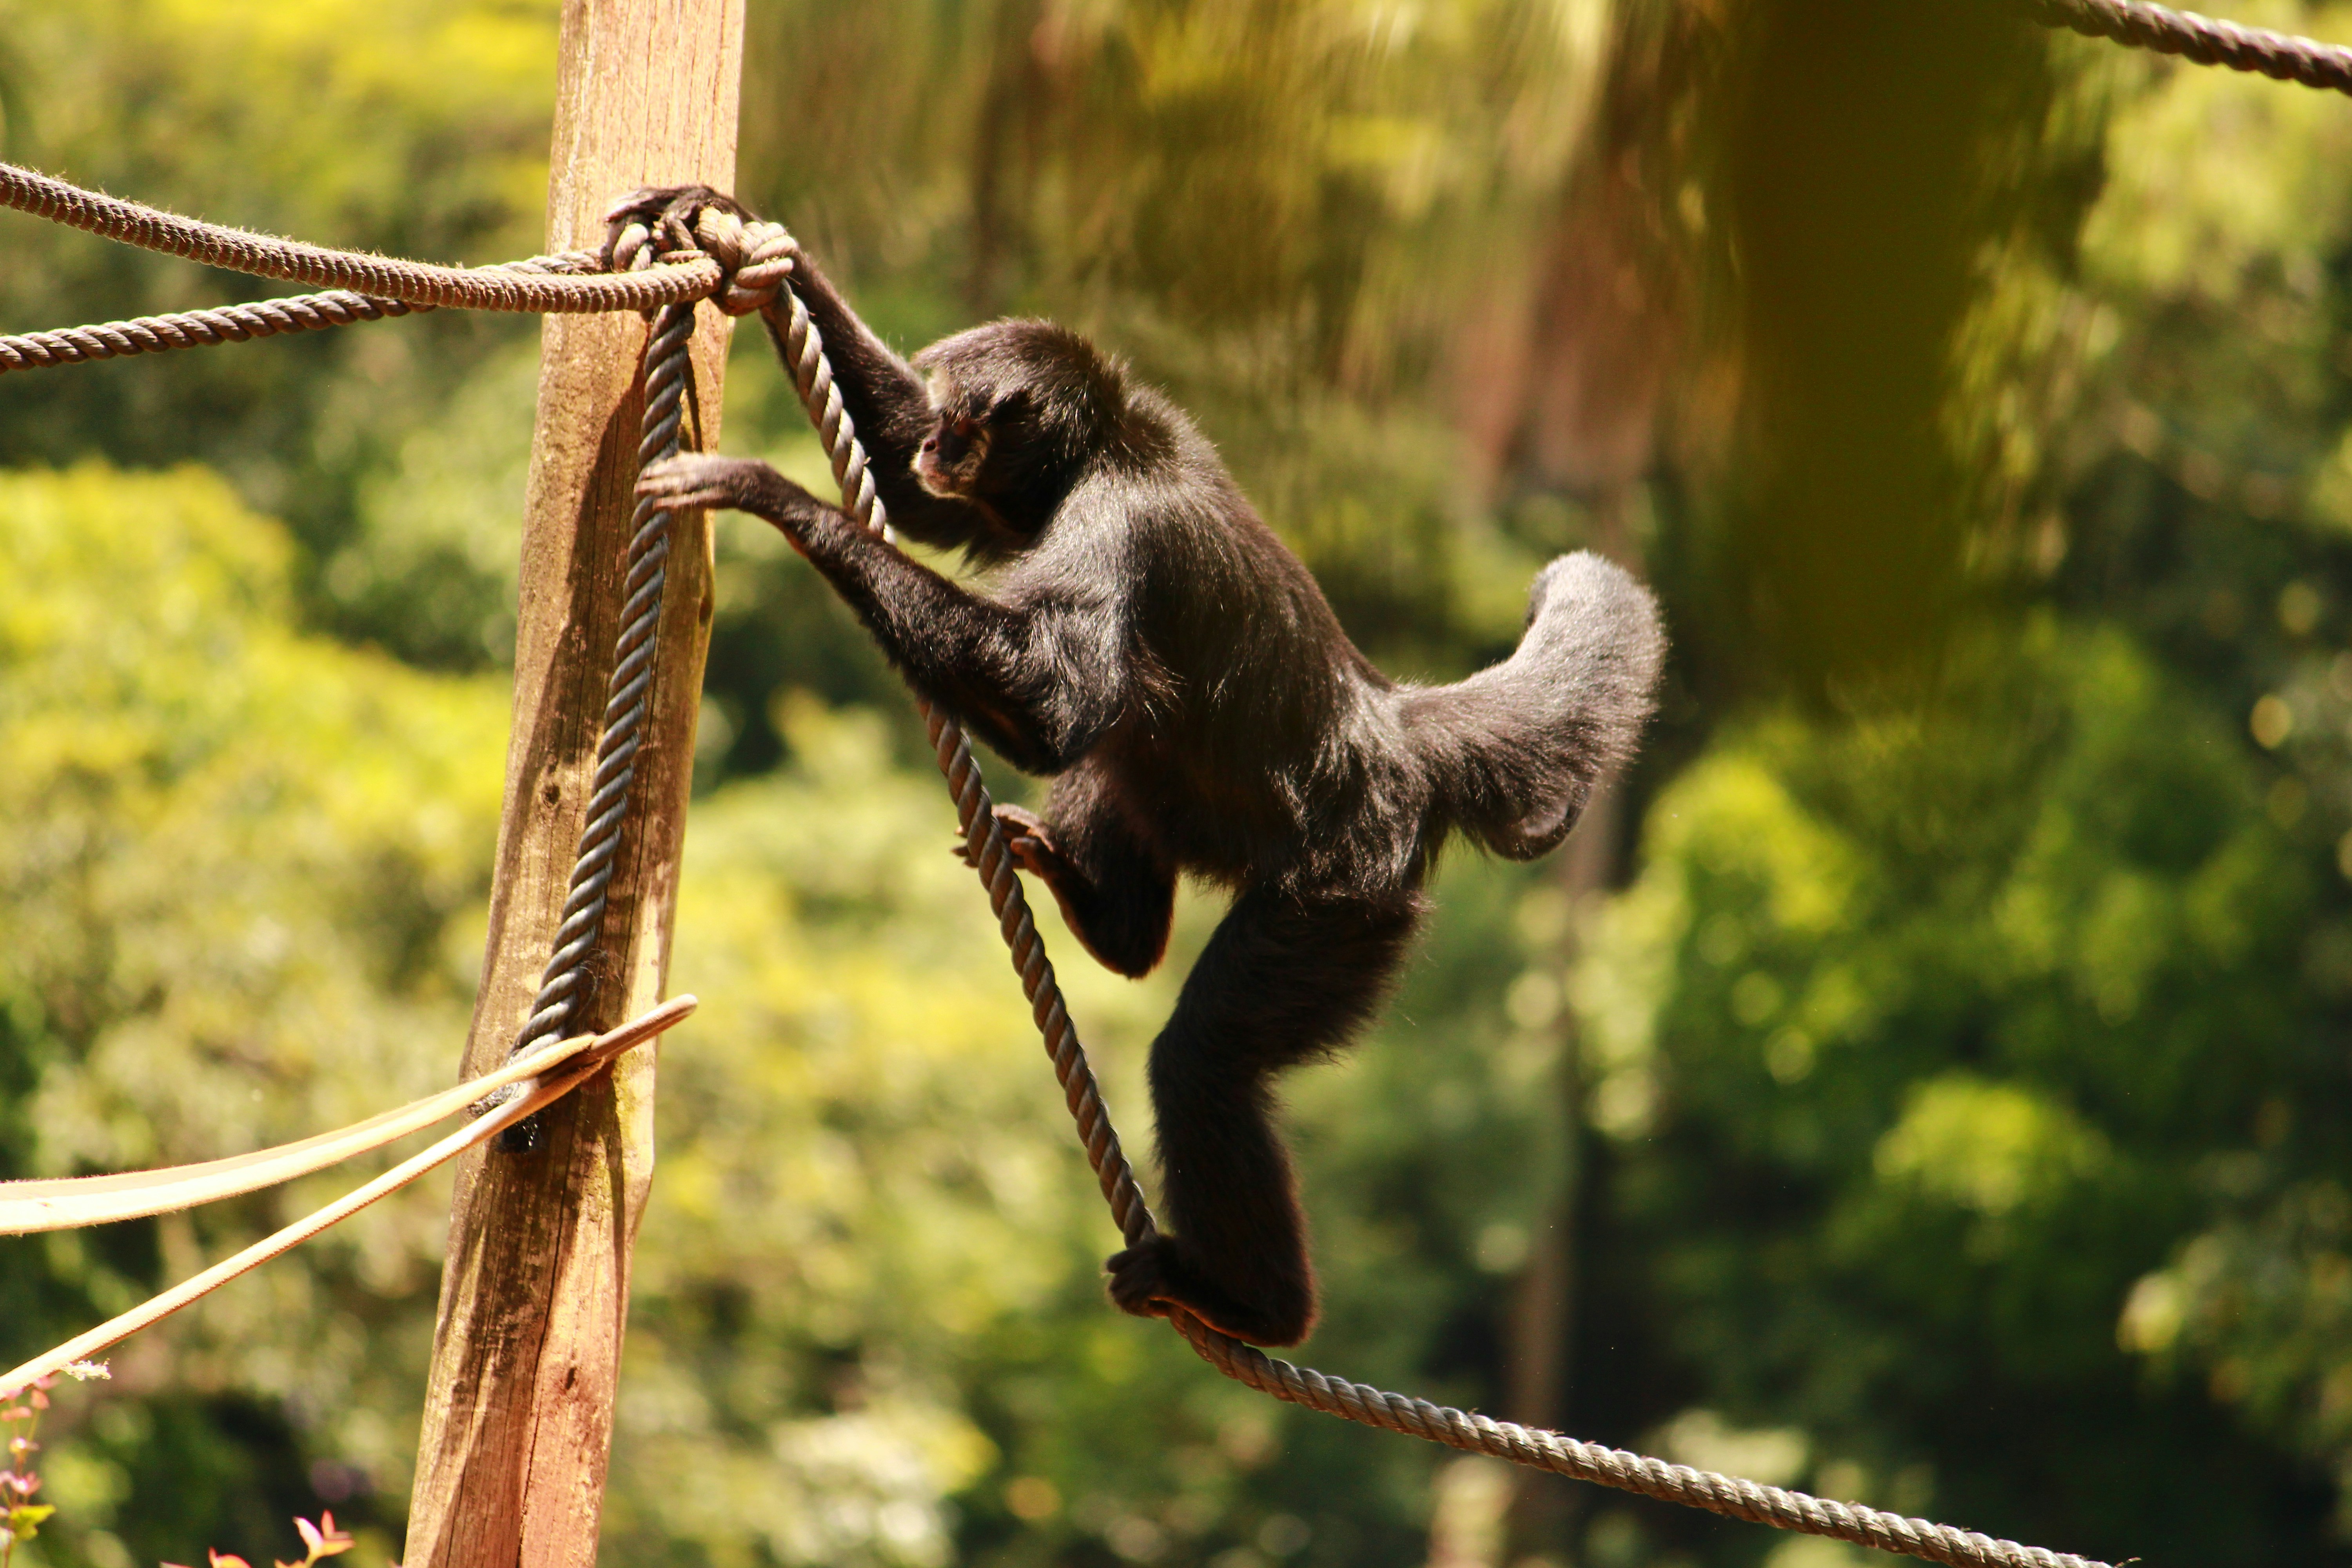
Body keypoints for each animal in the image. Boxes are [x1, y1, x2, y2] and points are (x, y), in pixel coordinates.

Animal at [611, 187, 1665, 1347]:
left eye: (966, 420)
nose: (940, 439)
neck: (1117, 444)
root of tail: (1388, 728)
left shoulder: (1113, 526)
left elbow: (1054, 706)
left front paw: (764, 489)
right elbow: (930, 513)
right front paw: (743, 239)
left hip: (1342, 895)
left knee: (1203, 1051)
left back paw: (1249, 1302)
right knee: (1129, 763)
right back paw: (1109, 920)